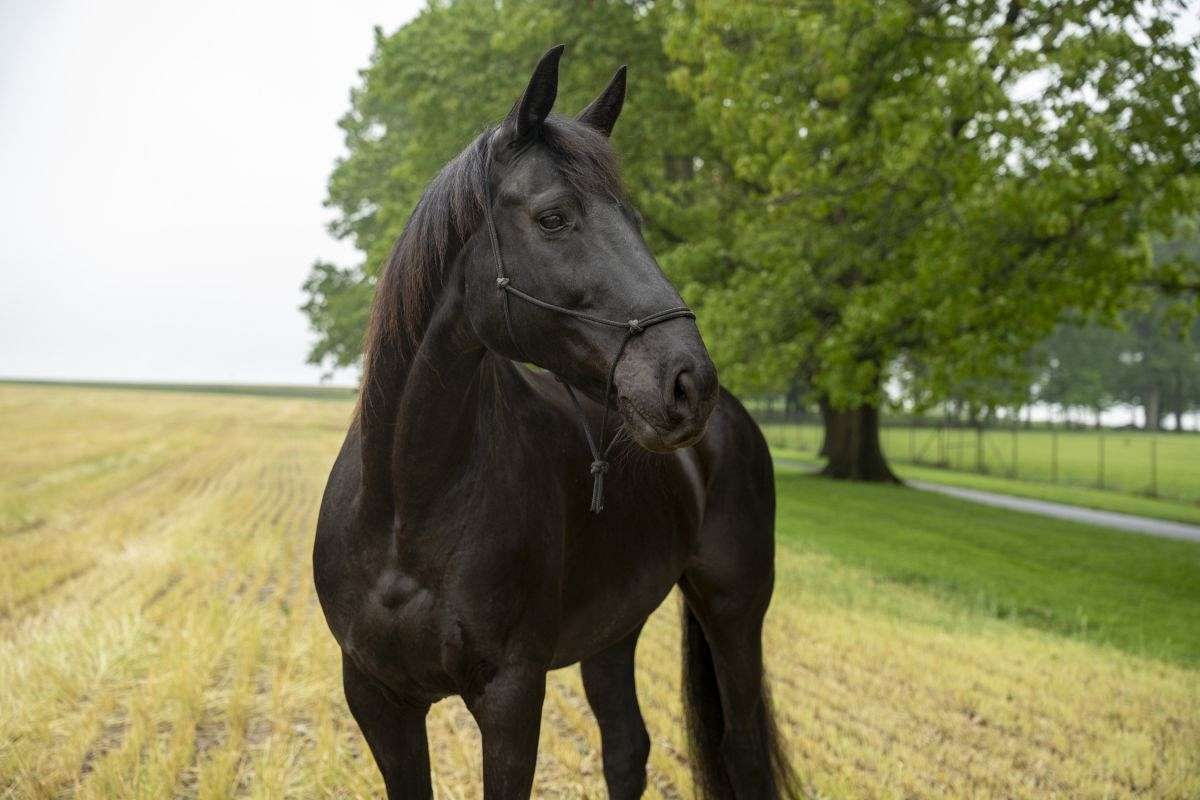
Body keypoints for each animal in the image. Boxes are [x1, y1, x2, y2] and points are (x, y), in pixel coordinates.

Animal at [313, 45, 798, 800]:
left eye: (635, 220)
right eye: (553, 218)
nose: (688, 382)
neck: (405, 507)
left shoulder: (512, 697)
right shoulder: (376, 697)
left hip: (734, 608)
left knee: (742, 750)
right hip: (614, 629)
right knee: (627, 748)